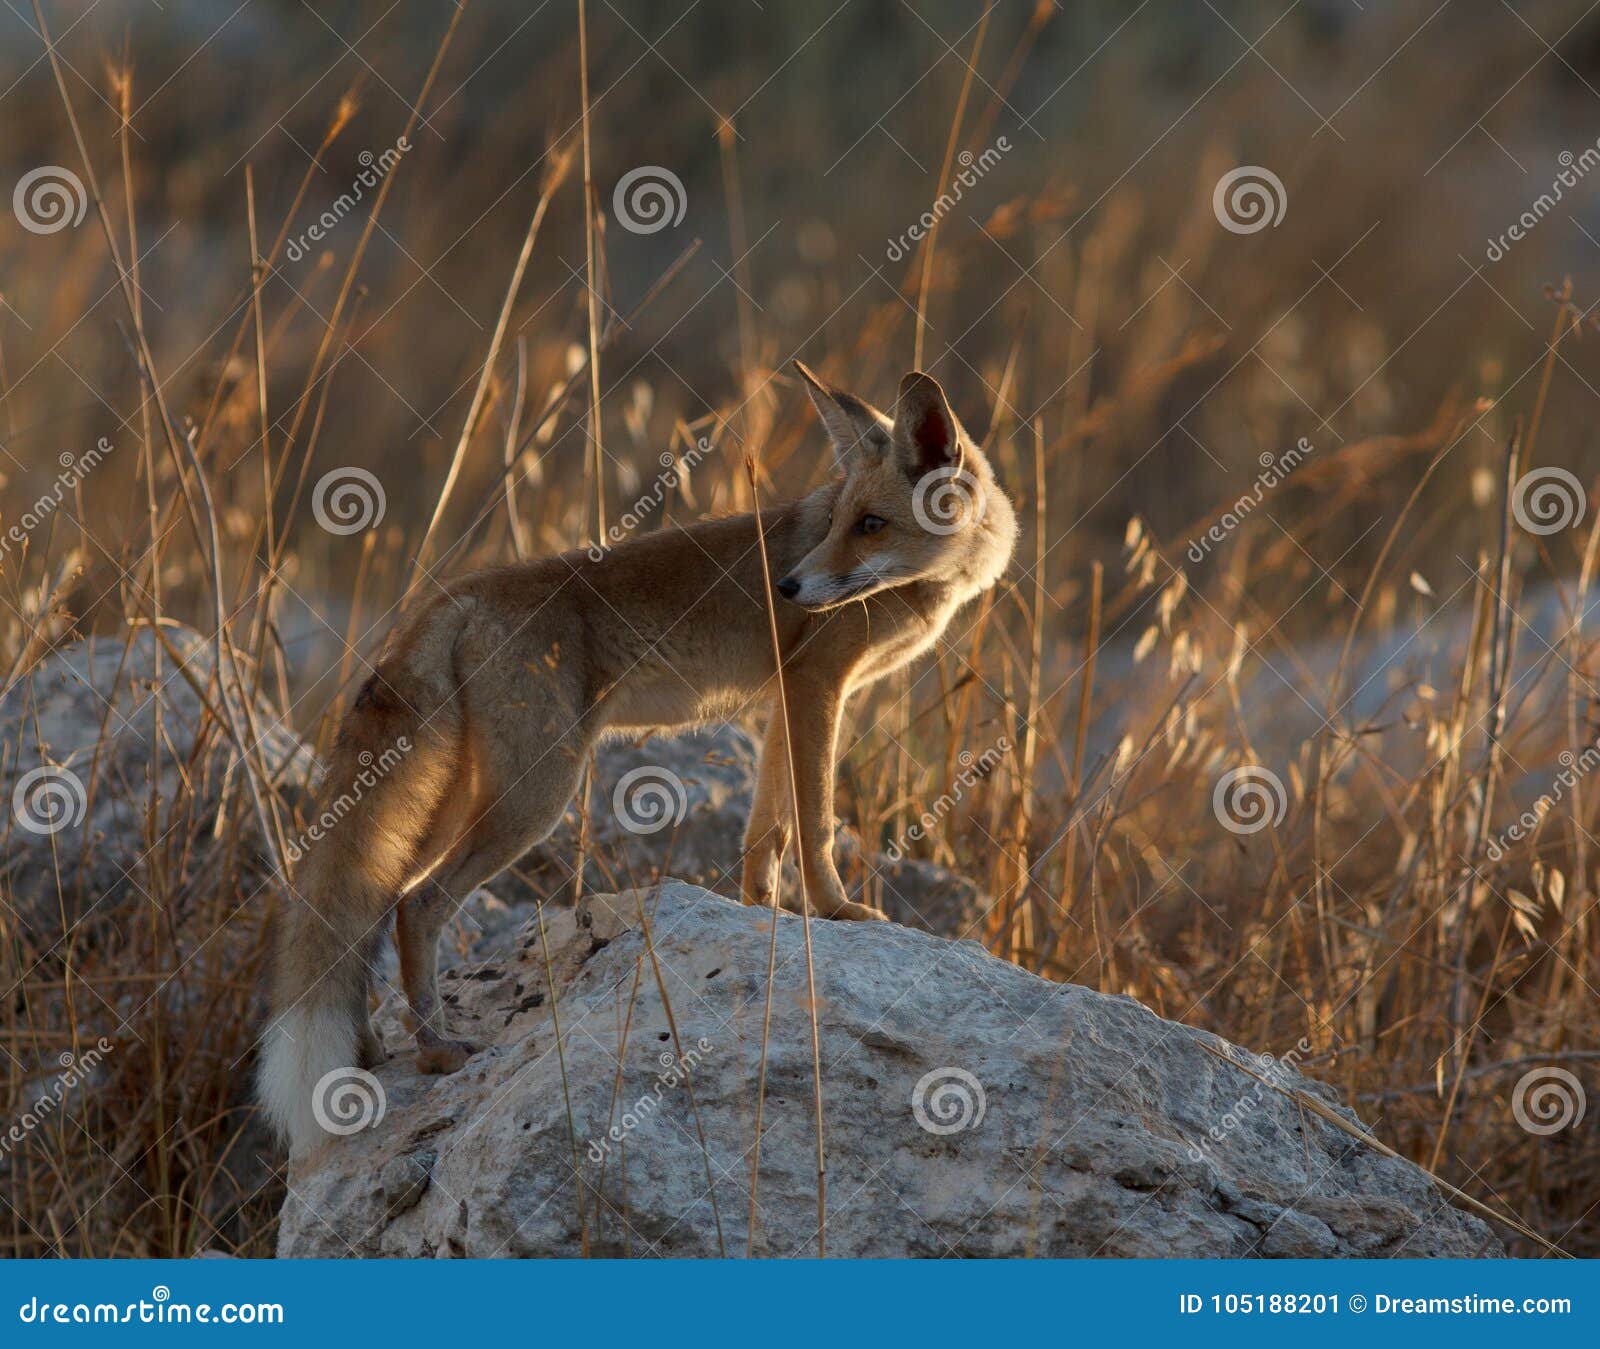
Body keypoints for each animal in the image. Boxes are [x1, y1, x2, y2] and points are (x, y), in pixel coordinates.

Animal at [258, 363, 1018, 1152]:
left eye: (870, 524)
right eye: (838, 519)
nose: (787, 586)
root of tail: (453, 594)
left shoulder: (787, 699)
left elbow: (767, 829)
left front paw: (763, 910)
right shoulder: (817, 687)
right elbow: (814, 825)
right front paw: (836, 910)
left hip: (457, 800)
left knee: (377, 903)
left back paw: (375, 1047)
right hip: (537, 794)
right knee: (419, 902)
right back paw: (437, 1049)